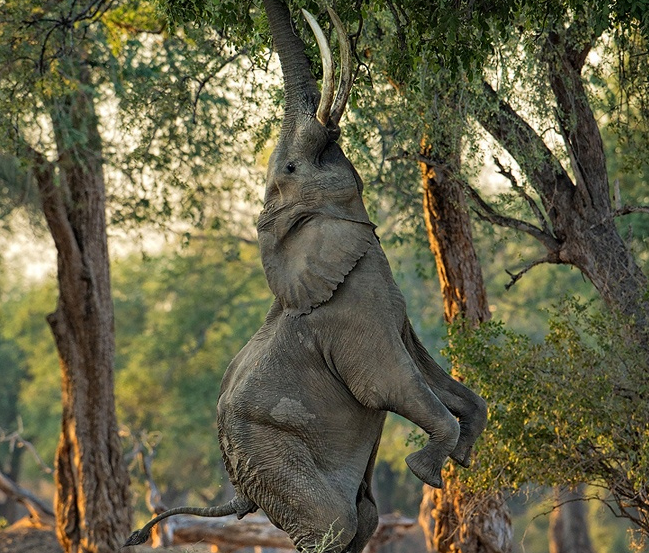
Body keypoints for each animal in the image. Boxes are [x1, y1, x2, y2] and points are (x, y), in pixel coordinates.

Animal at [125, 1, 487, 552]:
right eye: (294, 167)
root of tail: (239, 489)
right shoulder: (351, 319)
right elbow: (389, 383)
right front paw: (425, 470)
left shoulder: (393, 317)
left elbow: (433, 378)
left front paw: (463, 455)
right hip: (271, 454)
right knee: (335, 522)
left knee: (363, 520)